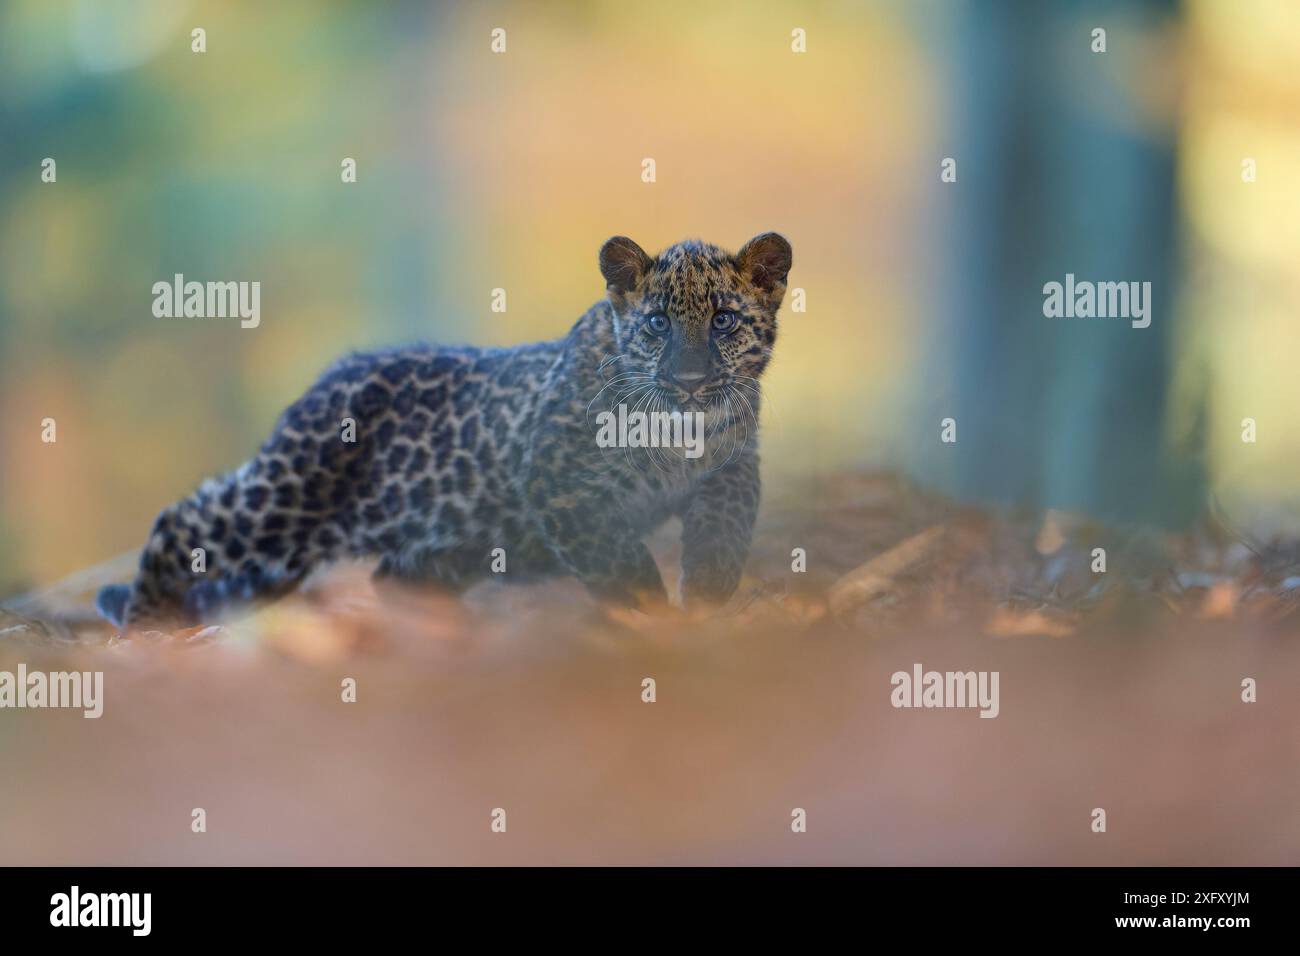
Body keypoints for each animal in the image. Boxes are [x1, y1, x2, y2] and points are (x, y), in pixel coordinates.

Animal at [95, 232, 793, 629]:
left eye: (724, 320)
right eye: (656, 324)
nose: (689, 379)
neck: (682, 434)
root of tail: (325, 379)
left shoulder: (734, 465)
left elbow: (725, 526)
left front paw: (708, 596)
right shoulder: (559, 482)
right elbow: (616, 557)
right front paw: (648, 611)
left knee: (391, 577)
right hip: (286, 503)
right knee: (185, 520)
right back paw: (145, 621)